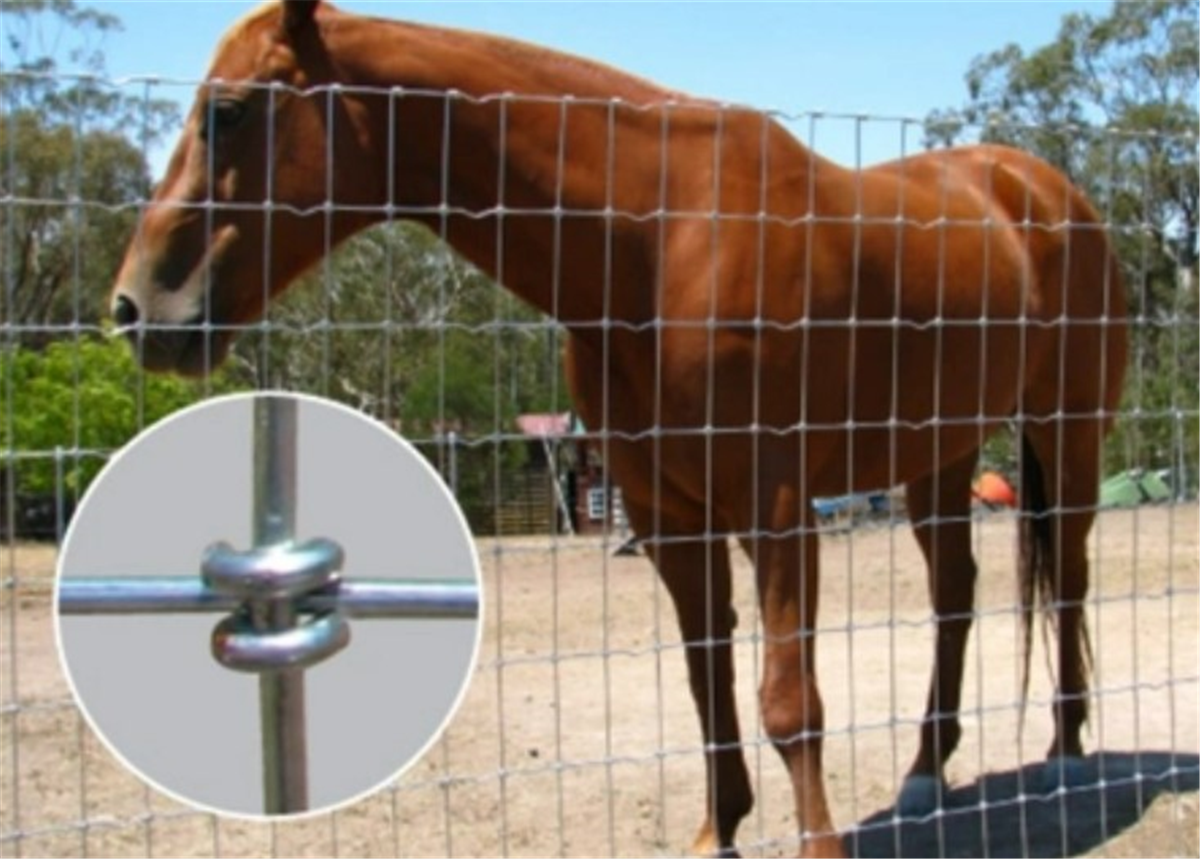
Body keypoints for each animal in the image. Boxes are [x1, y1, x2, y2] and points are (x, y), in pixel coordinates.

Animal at [109, 2, 1129, 856]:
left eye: (228, 111)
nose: (136, 308)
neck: (660, 236)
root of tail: (1041, 189)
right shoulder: (667, 512)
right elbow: (708, 680)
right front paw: (717, 831)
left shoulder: (778, 506)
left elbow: (787, 699)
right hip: (939, 453)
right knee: (956, 593)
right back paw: (925, 774)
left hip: (1067, 432)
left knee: (1071, 576)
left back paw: (1067, 750)